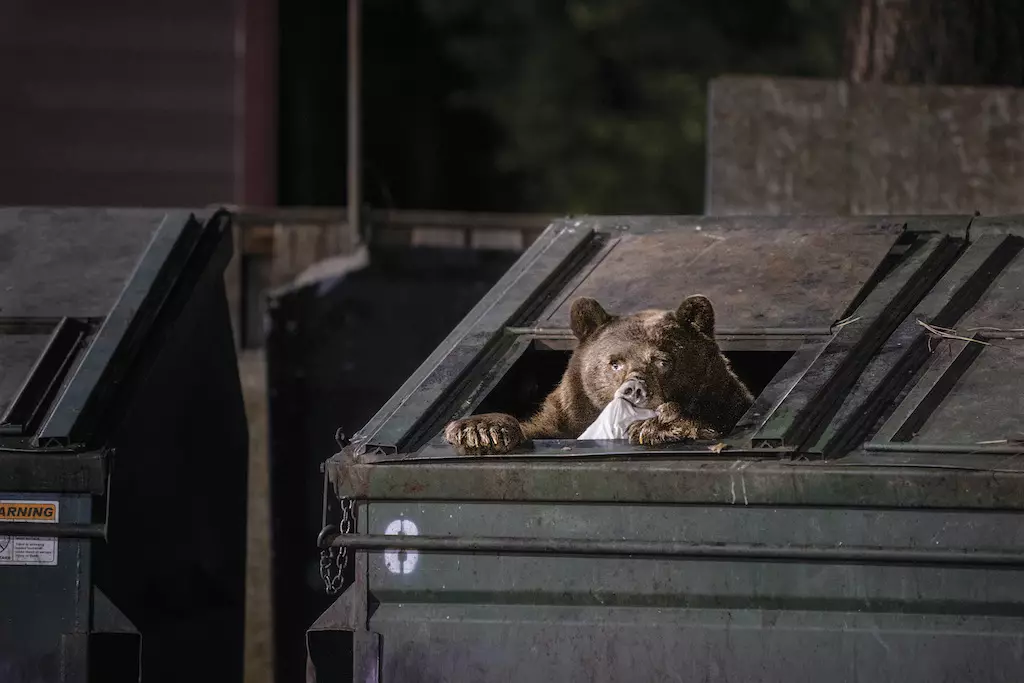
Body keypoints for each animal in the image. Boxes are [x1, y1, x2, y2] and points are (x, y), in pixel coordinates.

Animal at [444, 292, 757, 456]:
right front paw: (479, 429)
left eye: (662, 360)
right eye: (614, 363)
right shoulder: (568, 417)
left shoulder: (726, 405)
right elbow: (535, 428)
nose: (634, 389)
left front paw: (656, 426)